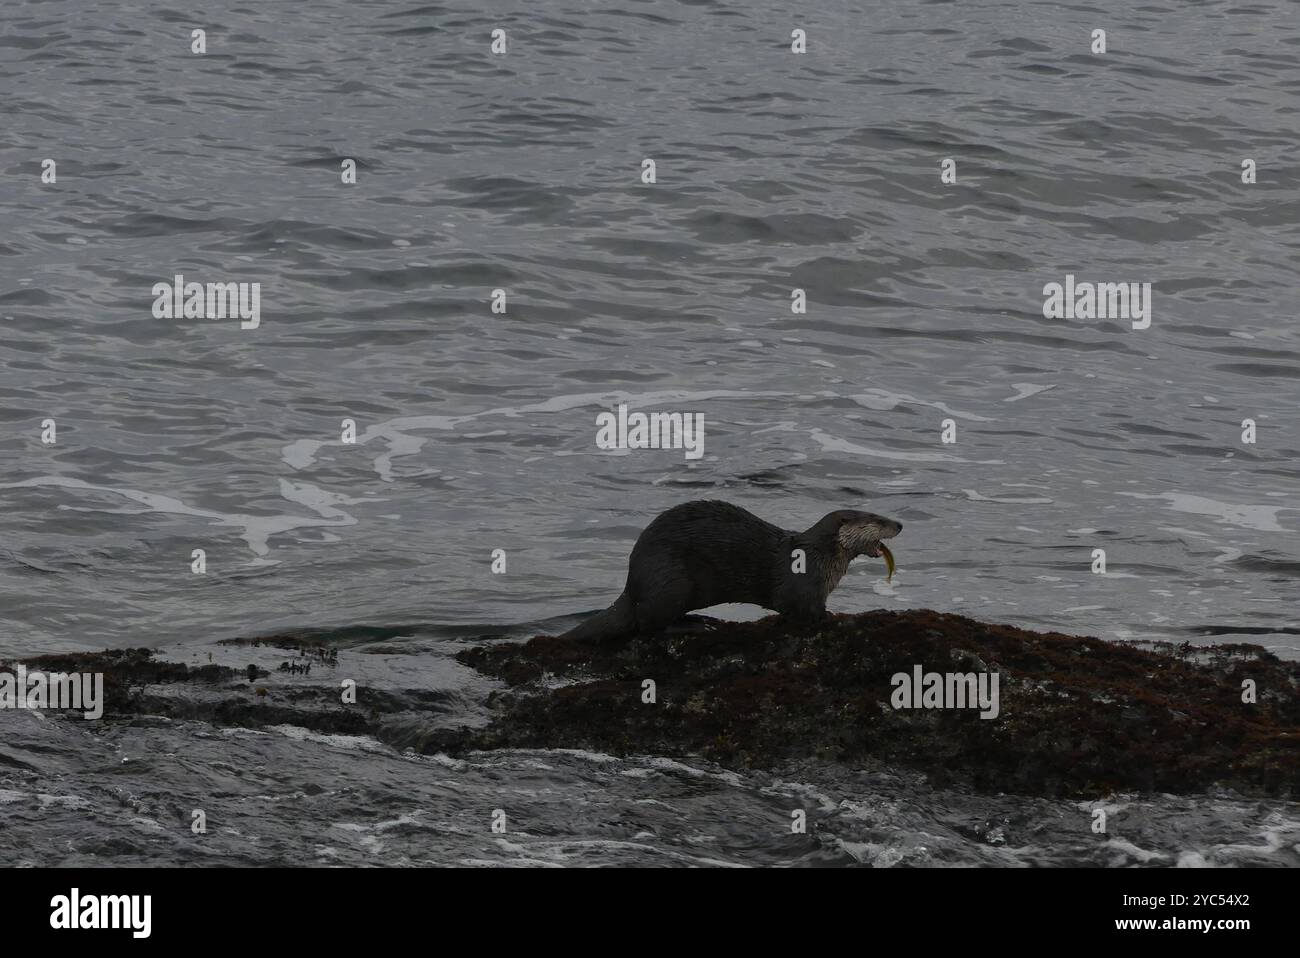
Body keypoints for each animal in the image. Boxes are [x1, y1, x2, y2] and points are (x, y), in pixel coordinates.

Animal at [557, 500, 902, 642]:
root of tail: (632, 585)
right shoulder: (803, 588)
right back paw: (696, 627)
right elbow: (807, 612)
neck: (820, 557)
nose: (899, 523)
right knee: (648, 624)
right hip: (671, 581)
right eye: (878, 519)